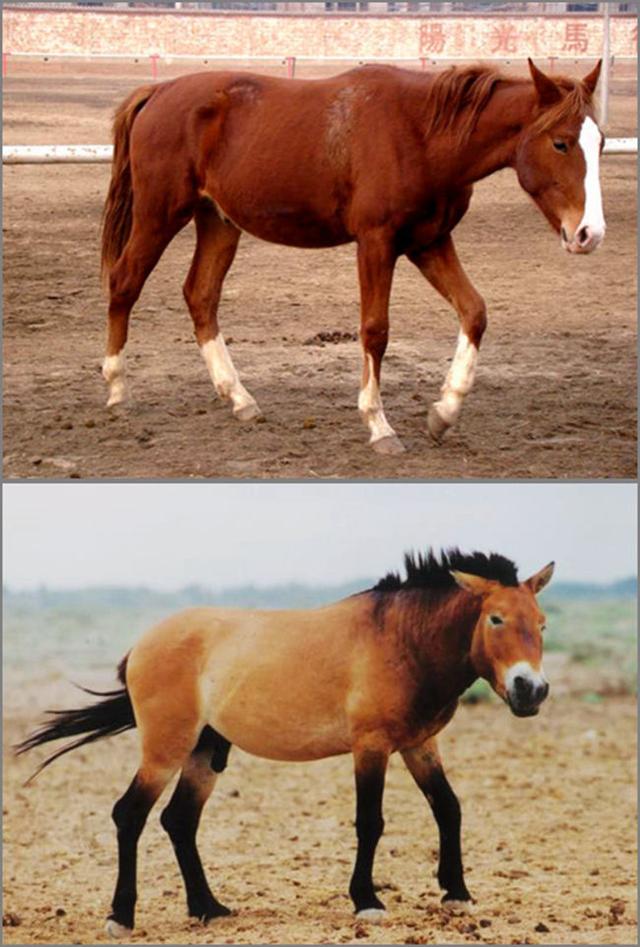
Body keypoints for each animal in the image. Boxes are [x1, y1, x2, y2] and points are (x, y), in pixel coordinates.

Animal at [18, 548, 554, 938]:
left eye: (542, 622)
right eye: (496, 619)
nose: (531, 690)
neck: (399, 637)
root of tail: (143, 644)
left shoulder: (419, 745)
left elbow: (449, 808)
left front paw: (457, 893)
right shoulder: (372, 747)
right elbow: (370, 822)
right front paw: (367, 901)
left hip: (206, 752)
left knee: (179, 821)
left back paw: (209, 908)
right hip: (165, 750)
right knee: (130, 815)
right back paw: (122, 918)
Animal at [100, 58, 604, 454]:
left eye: (599, 143)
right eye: (560, 142)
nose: (589, 233)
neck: (422, 134)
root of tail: (159, 92)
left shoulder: (429, 242)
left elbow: (474, 312)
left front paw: (444, 411)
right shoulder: (376, 243)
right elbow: (375, 331)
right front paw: (379, 426)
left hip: (218, 221)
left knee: (201, 296)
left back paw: (239, 399)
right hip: (160, 215)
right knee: (125, 283)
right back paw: (118, 390)